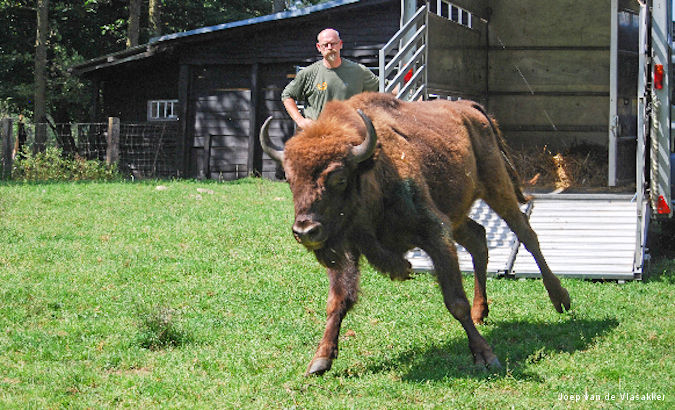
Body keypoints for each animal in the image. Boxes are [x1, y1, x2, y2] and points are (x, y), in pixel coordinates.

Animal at [260, 92, 570, 376]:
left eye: (338, 178)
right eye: (290, 178)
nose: (305, 230)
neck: (373, 170)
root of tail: (469, 108)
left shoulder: (435, 233)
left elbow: (455, 301)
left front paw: (485, 356)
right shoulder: (344, 248)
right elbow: (338, 302)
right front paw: (320, 360)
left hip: (497, 187)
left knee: (526, 234)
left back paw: (561, 300)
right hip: (458, 215)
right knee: (478, 238)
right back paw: (480, 312)